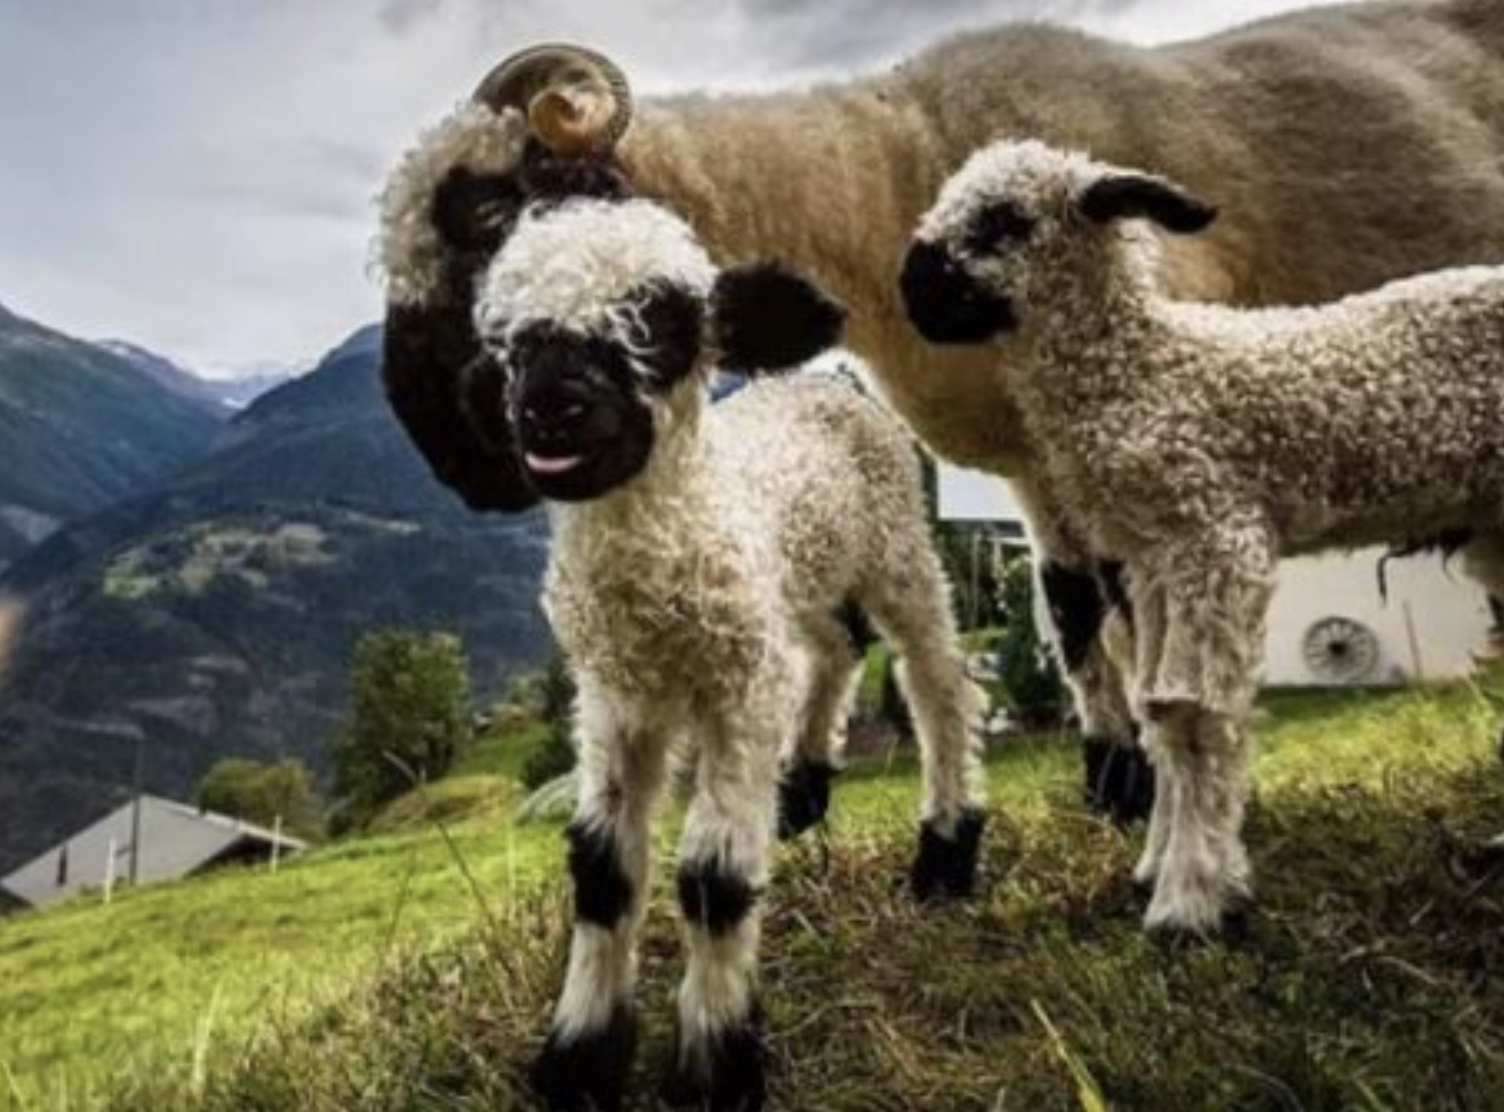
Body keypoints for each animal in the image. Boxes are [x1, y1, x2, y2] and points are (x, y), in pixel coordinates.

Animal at [377, 0, 1504, 824]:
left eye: (486, 210)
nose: (450, 456)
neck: (884, 184)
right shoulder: (1031, 458)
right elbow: (1072, 605)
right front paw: (1117, 780)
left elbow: (1133, 604)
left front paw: (1168, 776)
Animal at [463, 191, 985, 1111]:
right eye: (513, 344)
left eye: (659, 322)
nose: (551, 408)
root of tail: (814, 378)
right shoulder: (614, 698)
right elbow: (602, 871)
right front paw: (579, 1056)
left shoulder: (735, 686)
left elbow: (712, 880)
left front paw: (714, 1059)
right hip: (792, 584)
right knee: (833, 648)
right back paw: (804, 784)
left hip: (896, 549)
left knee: (935, 680)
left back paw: (947, 849)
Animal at [898, 136, 1504, 939]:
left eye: (1004, 221)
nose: (912, 292)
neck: (1148, 370)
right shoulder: (1151, 562)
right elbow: (1154, 711)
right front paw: (1156, 868)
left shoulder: (1215, 534)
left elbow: (1192, 717)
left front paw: (1193, 902)